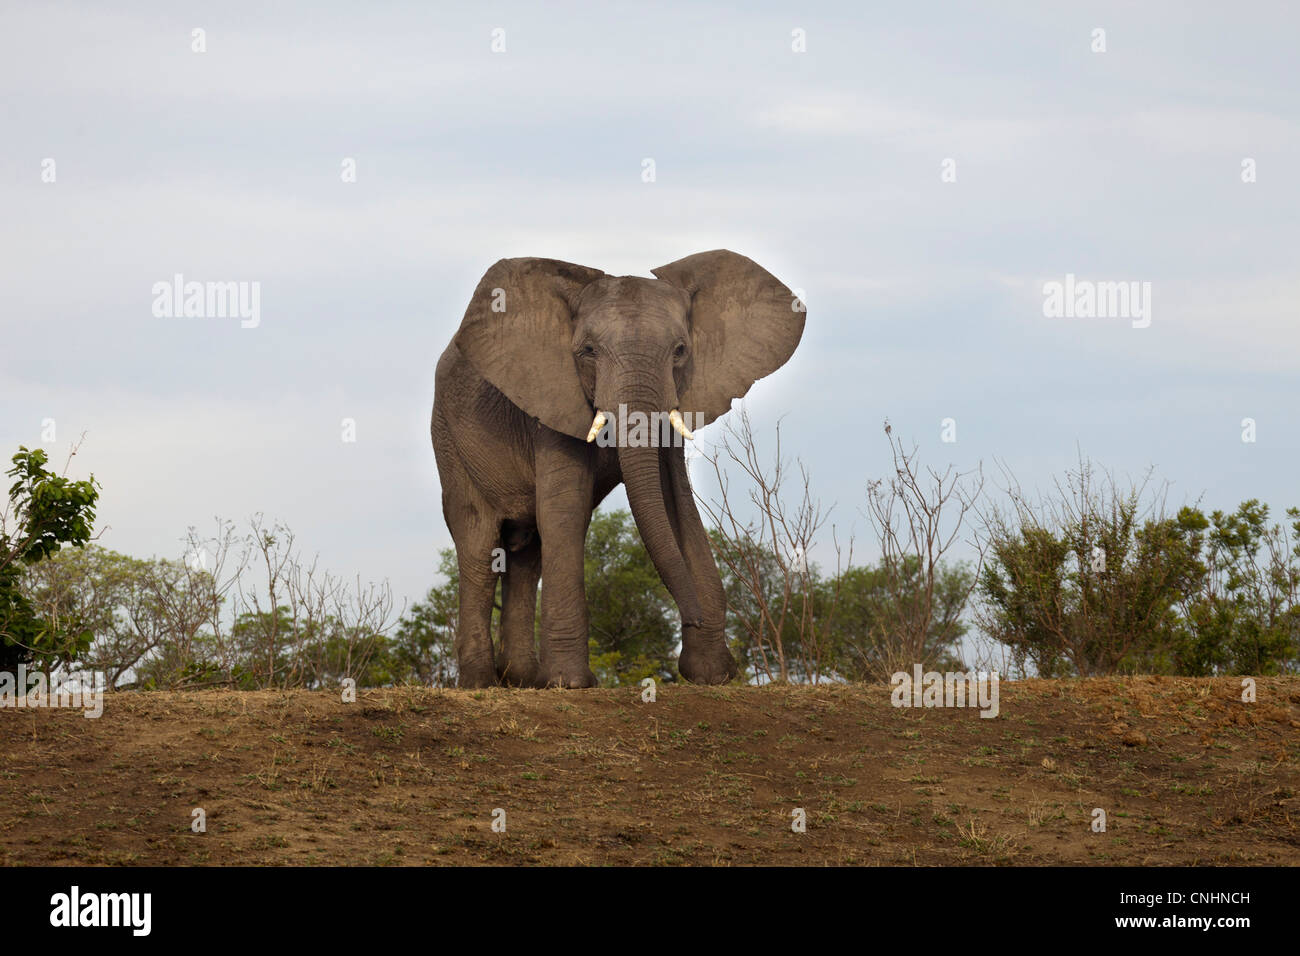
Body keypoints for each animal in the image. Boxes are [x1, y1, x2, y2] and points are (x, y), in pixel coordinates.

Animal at [431, 249, 805, 688]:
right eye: (588, 351)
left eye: (680, 350)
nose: (693, 619)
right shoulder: (554, 395)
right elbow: (566, 509)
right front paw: (572, 684)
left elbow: (673, 499)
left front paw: (713, 674)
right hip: (450, 441)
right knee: (477, 543)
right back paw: (481, 682)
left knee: (527, 551)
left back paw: (524, 680)